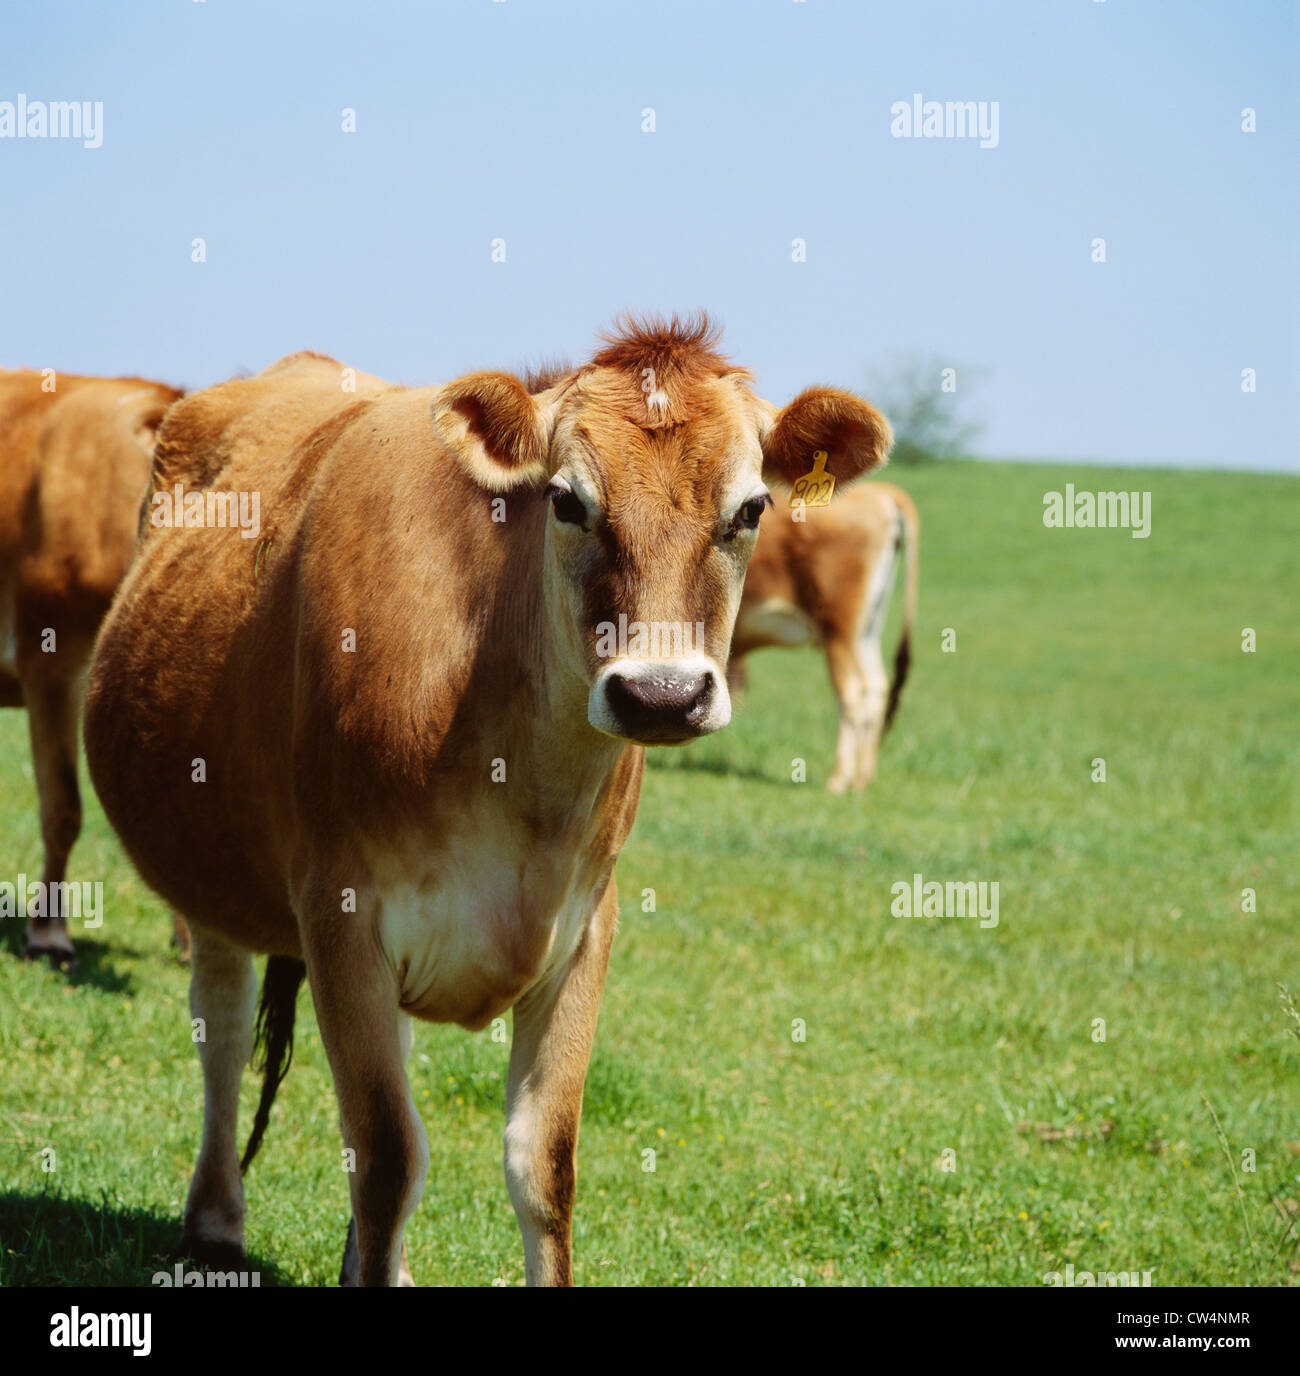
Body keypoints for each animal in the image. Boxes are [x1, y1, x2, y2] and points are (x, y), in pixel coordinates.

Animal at [83, 316, 892, 1286]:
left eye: (751, 510)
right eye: (568, 502)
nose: (660, 695)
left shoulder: (586, 930)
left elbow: (544, 1163)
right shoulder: (340, 916)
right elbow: (388, 1158)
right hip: (211, 884)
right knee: (225, 1026)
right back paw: (213, 1220)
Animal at [729, 480, 919, 792]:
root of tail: (880, 491)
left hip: (839, 629)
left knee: (851, 692)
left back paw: (840, 778)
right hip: (866, 630)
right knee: (876, 687)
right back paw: (862, 778)